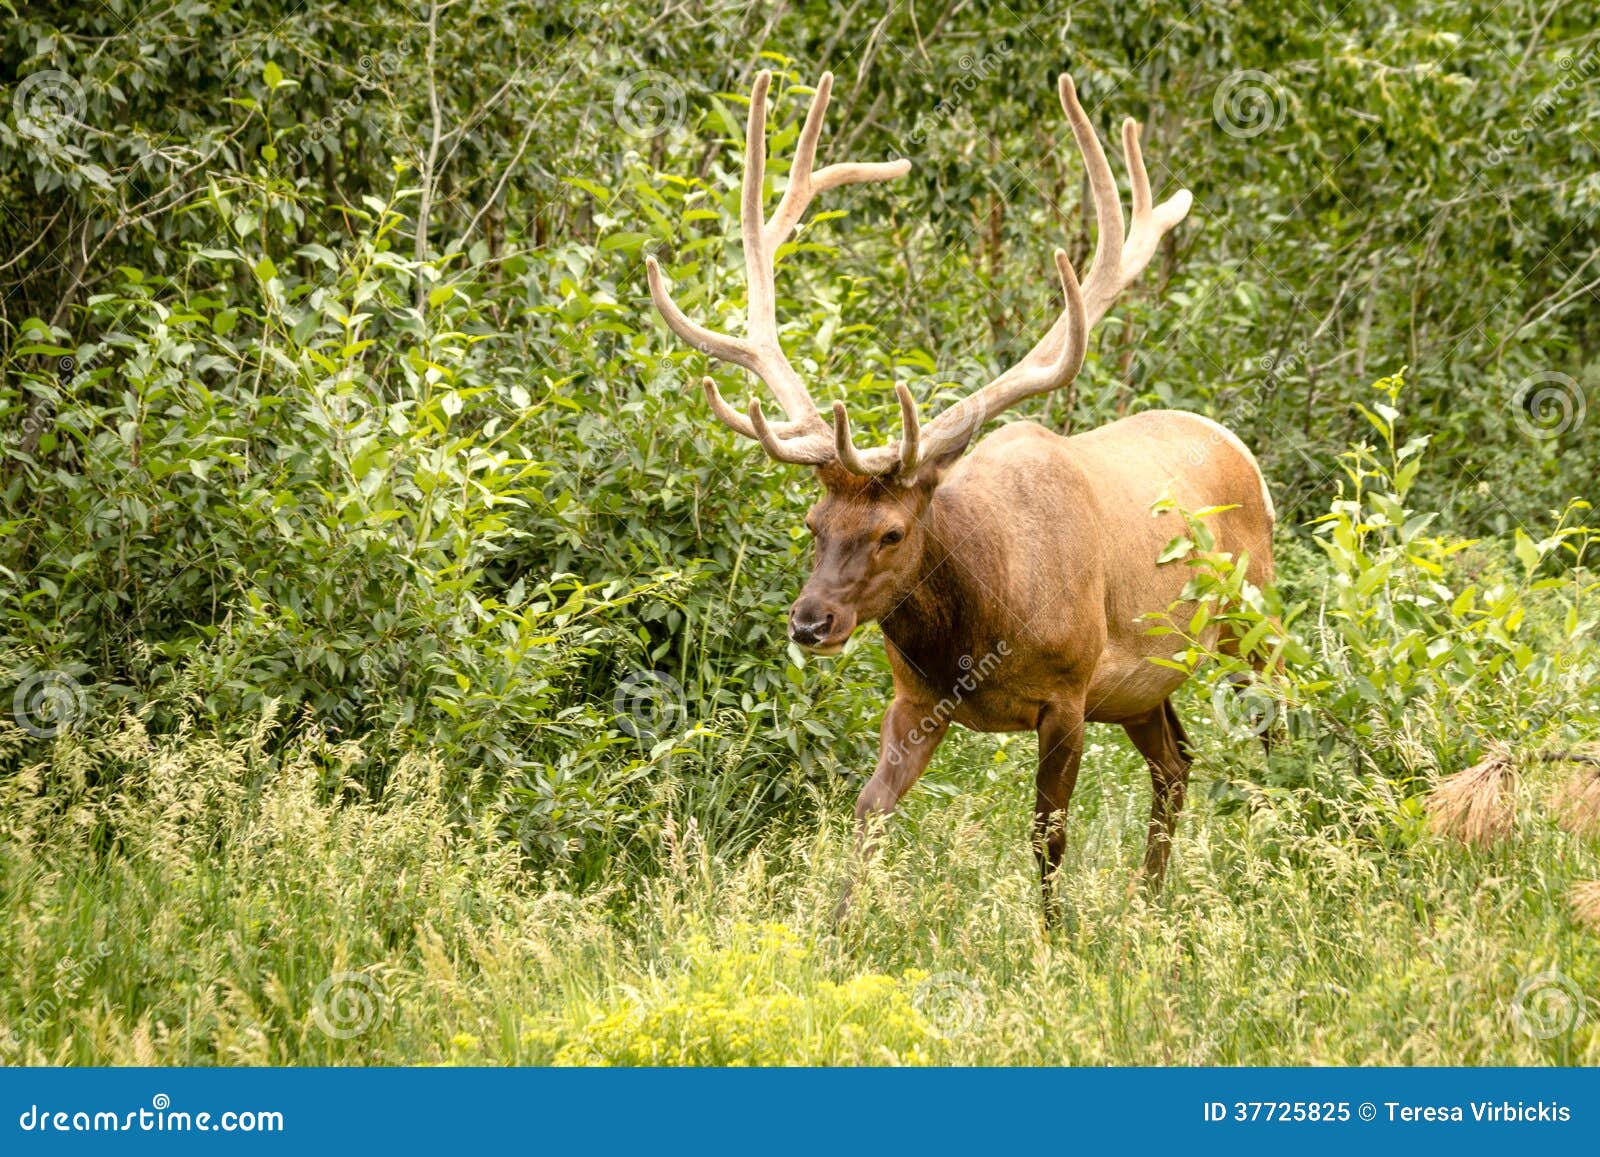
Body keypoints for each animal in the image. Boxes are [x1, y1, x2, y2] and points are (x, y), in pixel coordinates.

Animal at [643, 69, 1276, 916]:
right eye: (812, 522)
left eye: (892, 531)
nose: (811, 621)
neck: (982, 621)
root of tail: (1239, 448)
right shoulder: (913, 698)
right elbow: (868, 812)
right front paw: (836, 930)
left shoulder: (1069, 692)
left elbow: (1047, 839)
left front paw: (1055, 935)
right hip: (1144, 687)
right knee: (1177, 763)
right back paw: (1147, 903)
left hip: (1255, 624)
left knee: (1274, 740)